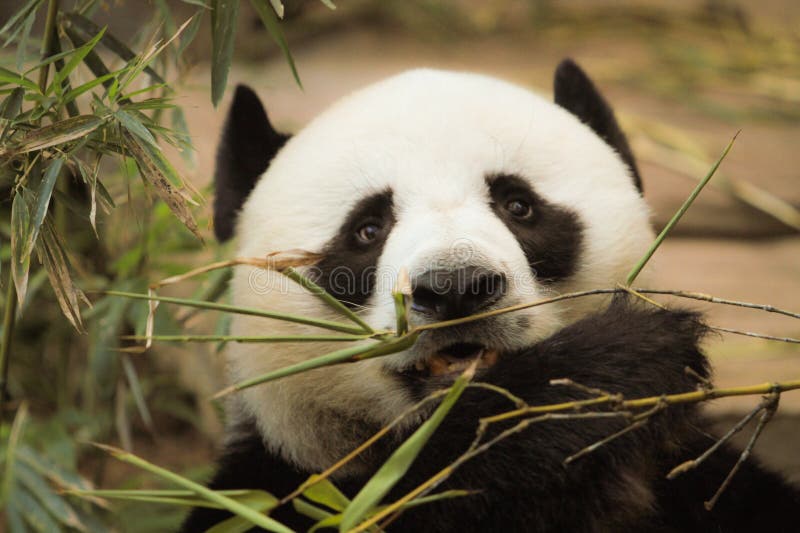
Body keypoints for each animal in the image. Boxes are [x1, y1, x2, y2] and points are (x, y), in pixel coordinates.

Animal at [182, 60, 799, 532]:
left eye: (518, 205)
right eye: (367, 229)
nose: (455, 288)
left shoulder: (699, 484)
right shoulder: (276, 488)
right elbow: (408, 497)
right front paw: (616, 365)